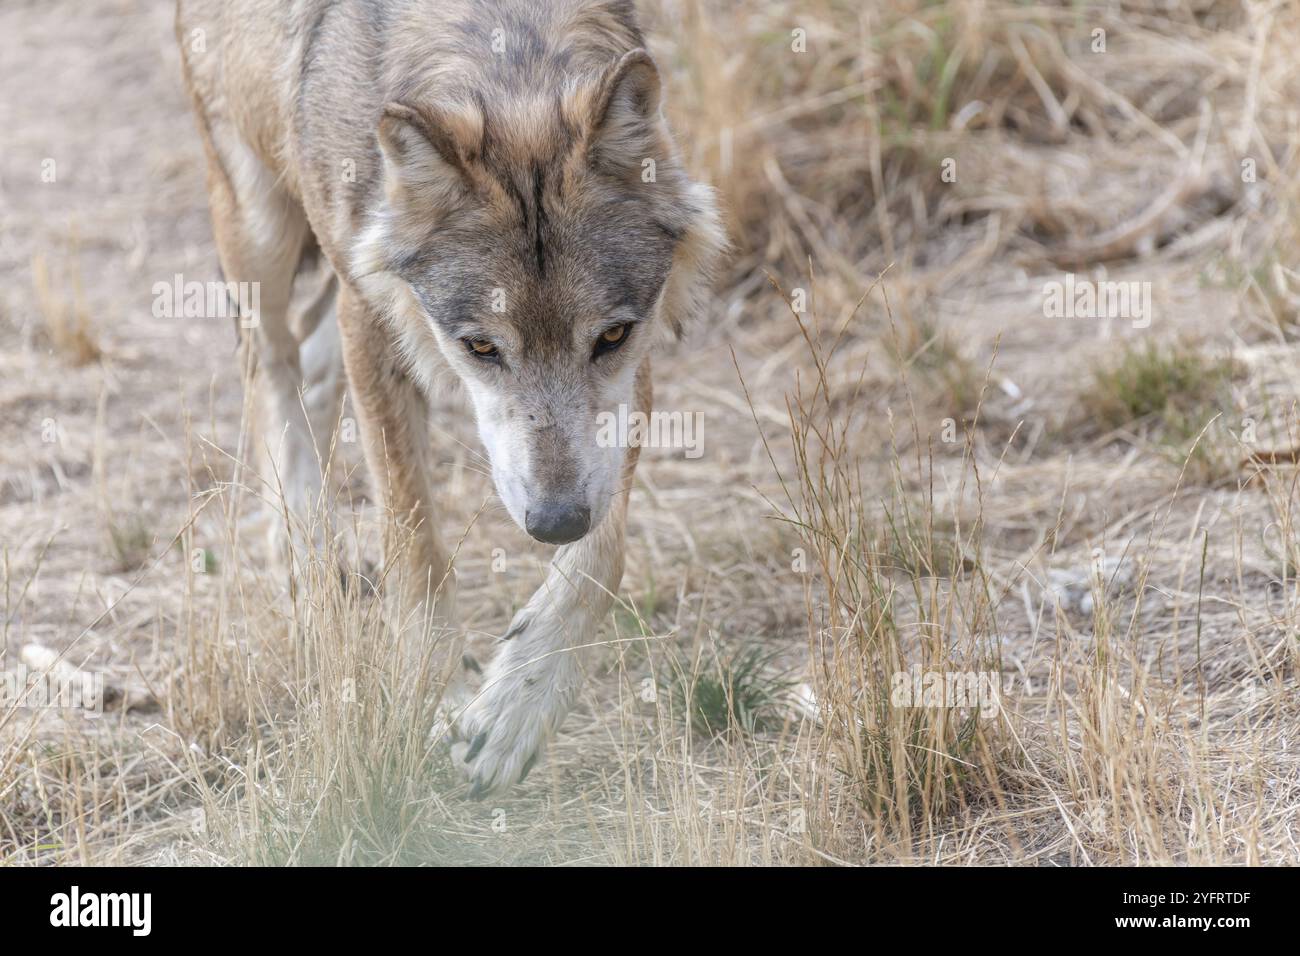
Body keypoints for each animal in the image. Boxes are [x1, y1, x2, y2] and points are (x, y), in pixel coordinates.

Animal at [175, 0, 725, 796]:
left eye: (610, 337)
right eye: (481, 348)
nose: (554, 521)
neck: (508, 57)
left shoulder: (632, 370)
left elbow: (604, 555)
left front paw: (517, 708)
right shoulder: (373, 317)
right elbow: (415, 543)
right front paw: (436, 698)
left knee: (308, 363)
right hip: (258, 225)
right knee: (268, 369)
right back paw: (307, 555)